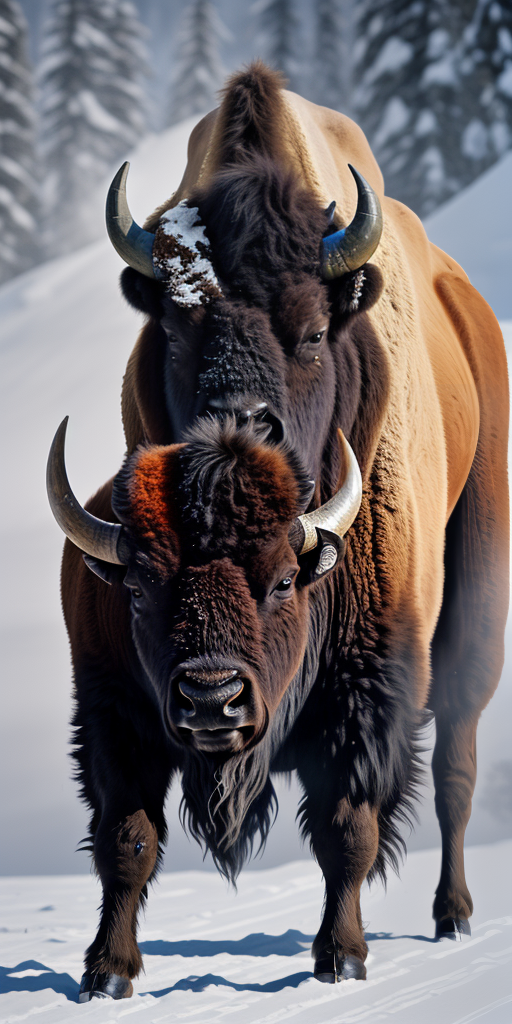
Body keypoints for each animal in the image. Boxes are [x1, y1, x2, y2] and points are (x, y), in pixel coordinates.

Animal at [49, 63, 508, 999]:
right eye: (175, 328)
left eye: (312, 331)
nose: (238, 427)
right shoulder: (115, 701)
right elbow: (126, 834)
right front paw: (106, 973)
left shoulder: (370, 684)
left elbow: (346, 823)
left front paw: (341, 958)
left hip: (475, 620)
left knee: (456, 768)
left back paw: (452, 915)